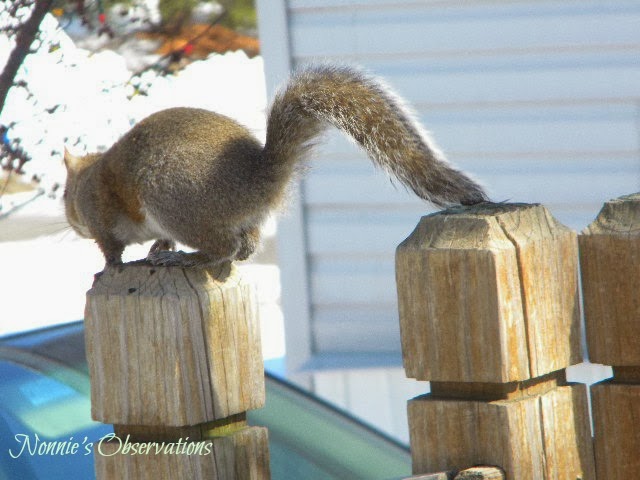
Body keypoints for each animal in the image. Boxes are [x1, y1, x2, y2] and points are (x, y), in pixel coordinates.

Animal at [63, 65, 489, 267]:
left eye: (65, 197)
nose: (70, 223)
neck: (88, 177)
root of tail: (260, 177)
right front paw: (155, 246)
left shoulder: (102, 216)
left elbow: (110, 249)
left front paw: (110, 267)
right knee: (244, 247)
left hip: (170, 197)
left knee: (223, 247)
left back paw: (184, 258)